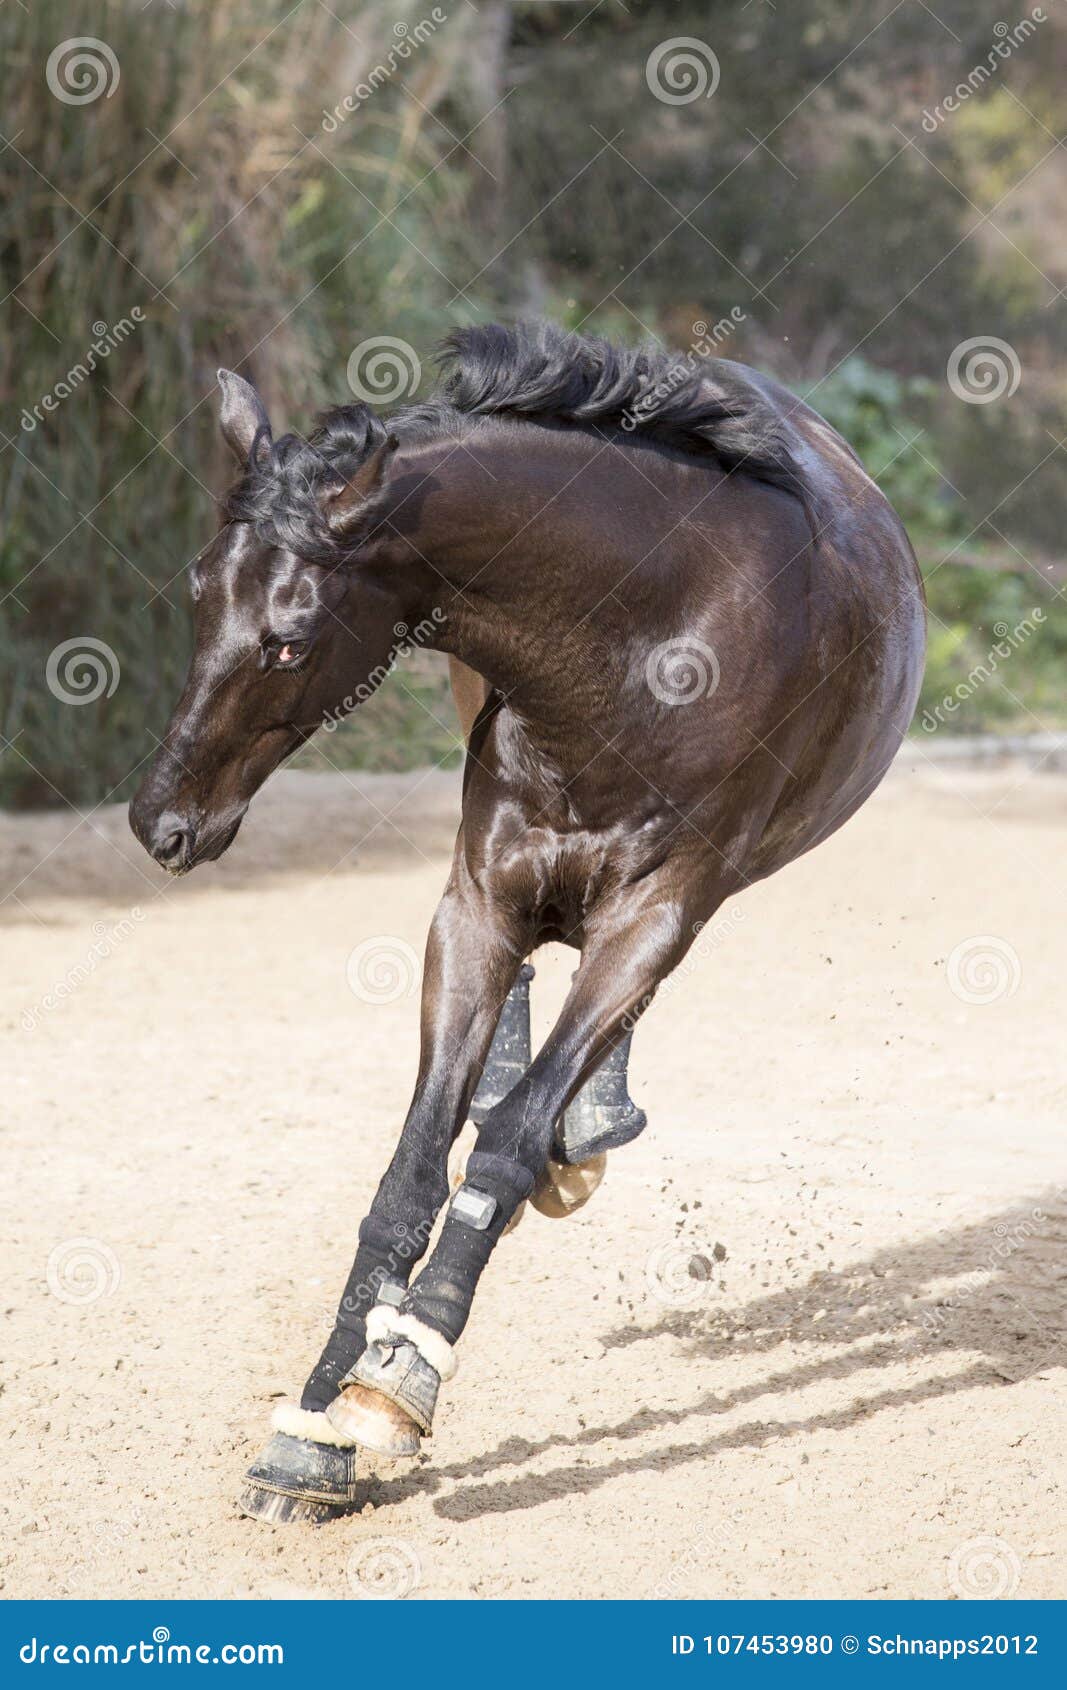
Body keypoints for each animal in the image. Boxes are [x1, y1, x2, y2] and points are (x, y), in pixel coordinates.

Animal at [129, 320, 925, 1521]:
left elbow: (500, 1147)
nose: (162, 822)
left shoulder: (658, 911)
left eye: (289, 638)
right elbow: (413, 1171)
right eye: (195, 596)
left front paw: (395, 1381)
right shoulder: (475, 905)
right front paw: (312, 1427)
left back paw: (579, 1128)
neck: (643, 643)